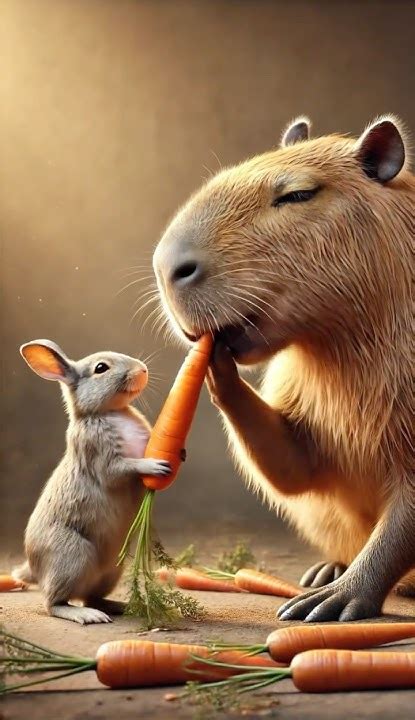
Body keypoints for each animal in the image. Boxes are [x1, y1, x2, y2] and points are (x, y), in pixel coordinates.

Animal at [12, 339, 171, 624]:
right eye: (100, 368)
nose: (142, 370)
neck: (109, 412)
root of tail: (34, 569)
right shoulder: (101, 456)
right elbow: (122, 468)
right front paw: (154, 465)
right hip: (73, 557)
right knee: (54, 604)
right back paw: (88, 616)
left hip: (111, 571)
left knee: (91, 597)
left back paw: (123, 606)